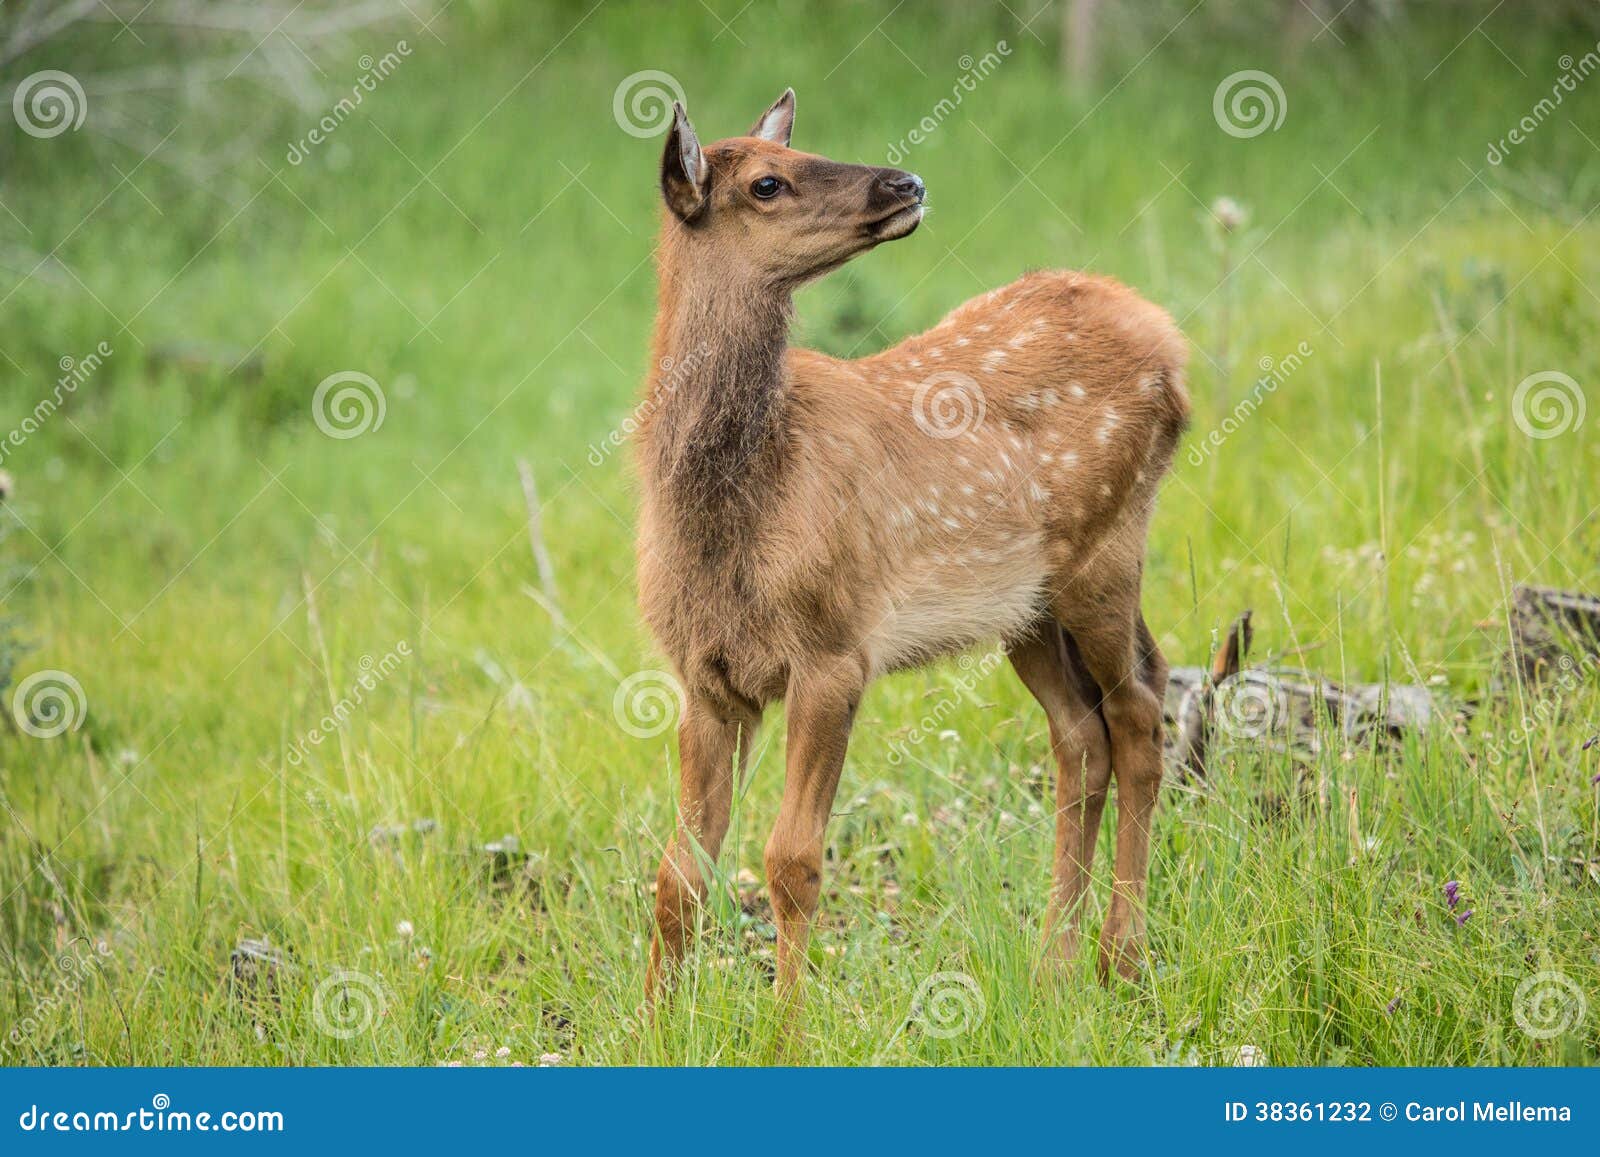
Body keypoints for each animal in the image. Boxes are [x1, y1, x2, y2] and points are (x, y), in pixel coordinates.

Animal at [635, 89, 1190, 1011]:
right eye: (767, 181)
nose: (906, 181)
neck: (732, 512)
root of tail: (1170, 336)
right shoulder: (705, 676)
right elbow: (680, 871)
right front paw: (658, 1025)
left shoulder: (834, 649)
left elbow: (792, 861)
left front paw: (789, 1028)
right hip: (1026, 608)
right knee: (1082, 734)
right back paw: (1053, 967)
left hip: (1107, 548)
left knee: (1142, 710)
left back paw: (1123, 959)